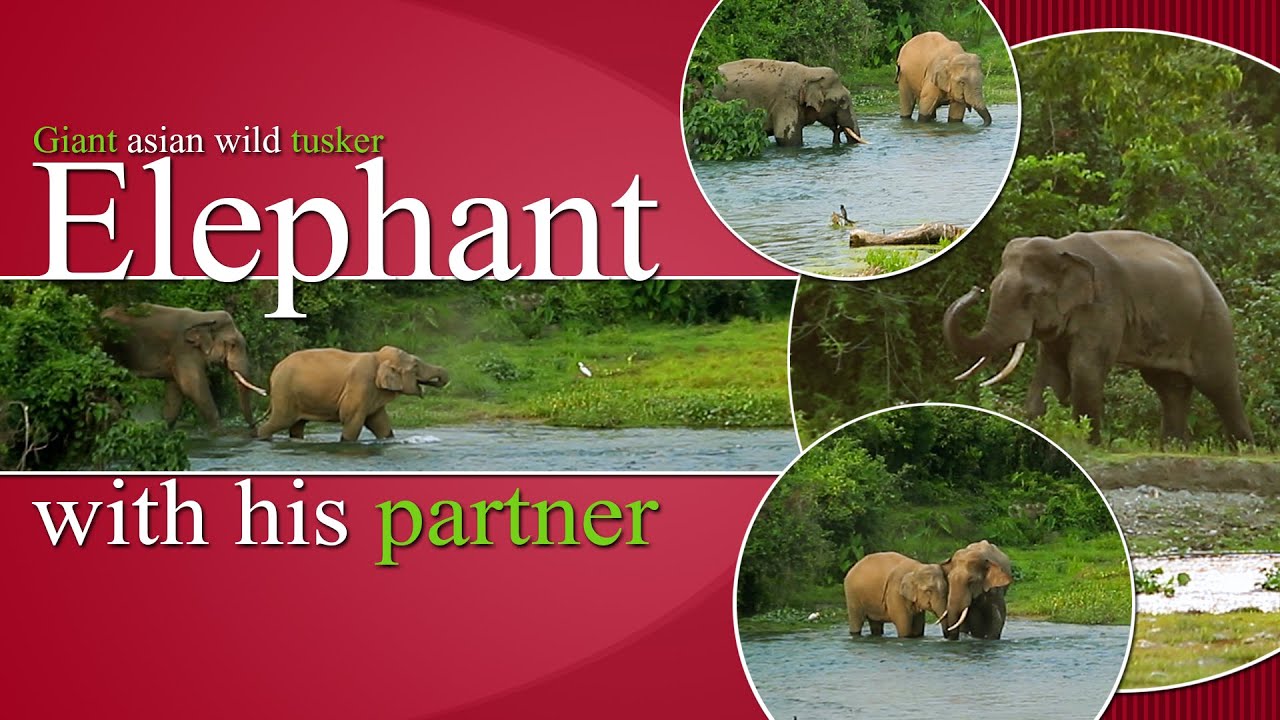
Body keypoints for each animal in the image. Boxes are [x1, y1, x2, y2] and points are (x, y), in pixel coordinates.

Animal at [101, 303, 265, 431]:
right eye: (232, 344)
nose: (255, 426)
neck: (205, 318)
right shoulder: (183, 350)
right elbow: (193, 387)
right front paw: (219, 434)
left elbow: (175, 393)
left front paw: (163, 429)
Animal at [255, 346, 448, 442]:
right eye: (415, 366)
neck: (377, 357)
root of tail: (274, 371)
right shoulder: (360, 384)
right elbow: (351, 419)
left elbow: (380, 423)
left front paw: (388, 440)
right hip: (284, 393)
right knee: (281, 421)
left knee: (297, 425)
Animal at [943, 231, 1254, 446]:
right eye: (993, 287)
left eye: (1029, 296)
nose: (976, 290)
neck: (1061, 249)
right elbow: (1050, 372)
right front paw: (1037, 428)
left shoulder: (1104, 305)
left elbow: (1084, 368)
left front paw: (1088, 443)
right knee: (1169, 387)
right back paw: (1175, 448)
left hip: (1211, 320)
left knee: (1218, 383)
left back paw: (1243, 448)